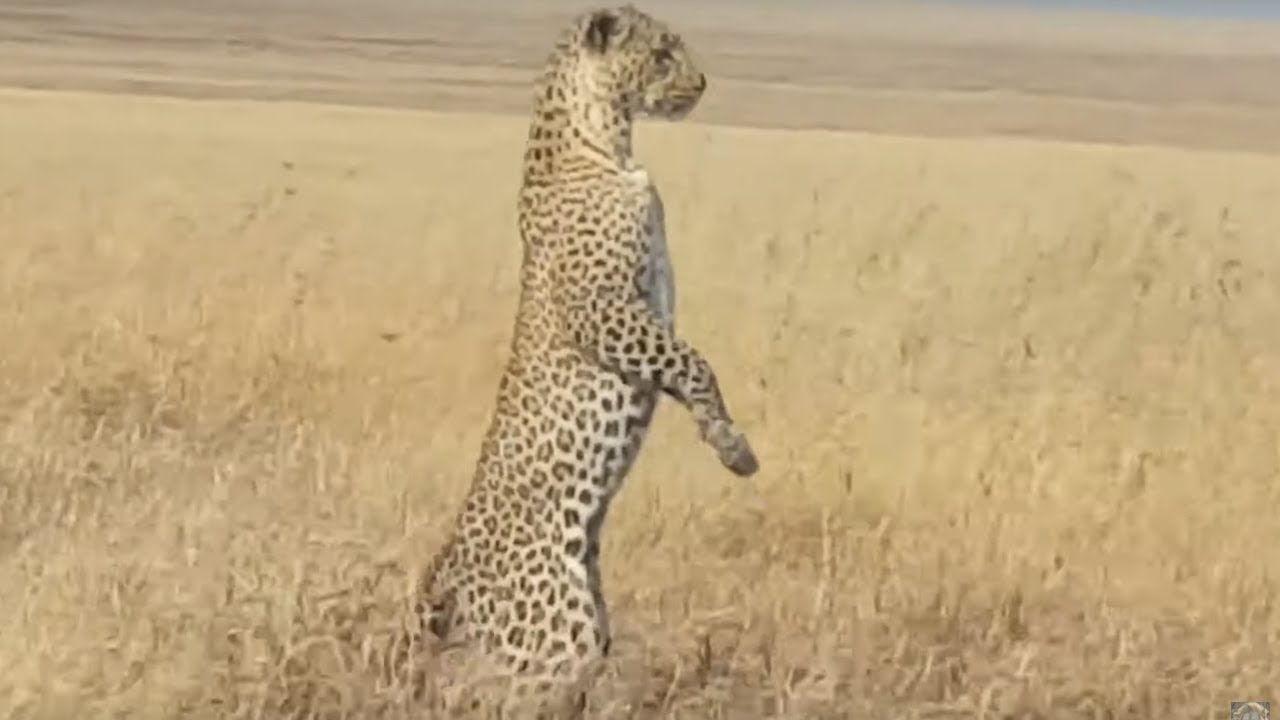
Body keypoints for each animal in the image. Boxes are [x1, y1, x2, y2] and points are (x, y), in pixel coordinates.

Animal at [409, 4, 759, 716]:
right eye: (662, 53)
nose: (702, 82)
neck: (610, 140)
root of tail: (442, 585)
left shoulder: (646, 312)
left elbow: (680, 365)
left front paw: (717, 433)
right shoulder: (605, 312)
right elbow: (693, 361)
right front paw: (730, 444)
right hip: (560, 630)